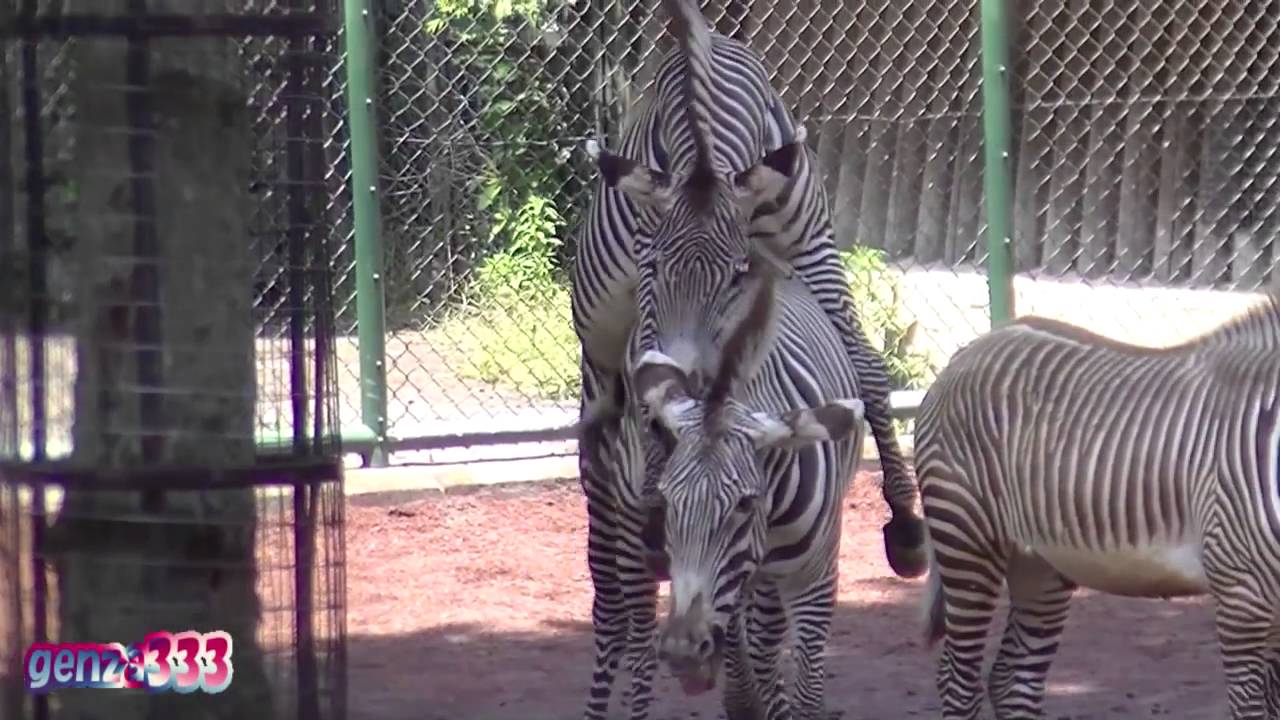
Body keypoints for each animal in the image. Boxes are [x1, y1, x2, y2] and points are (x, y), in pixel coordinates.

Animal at [623, 248, 868, 720]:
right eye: (667, 501)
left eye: (743, 504)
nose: (682, 653)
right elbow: (746, 671)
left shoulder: (815, 580)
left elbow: (806, 689)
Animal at [913, 294, 1280, 720]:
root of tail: (973, 346)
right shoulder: (1240, 592)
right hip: (965, 535)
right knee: (958, 681)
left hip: (1039, 561)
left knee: (1012, 681)